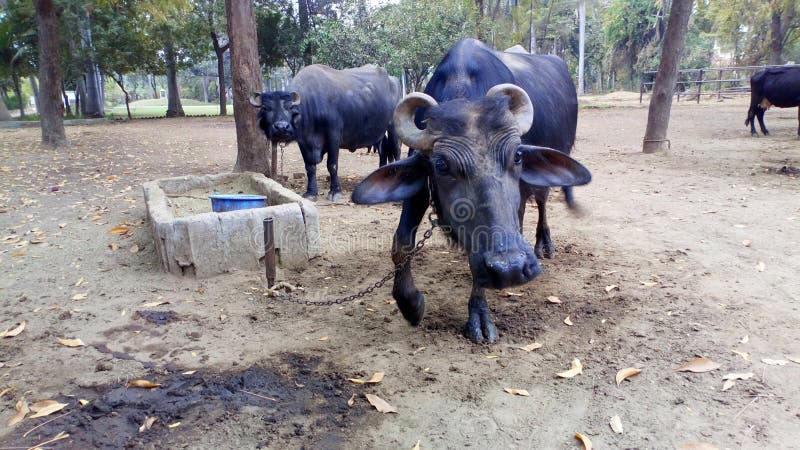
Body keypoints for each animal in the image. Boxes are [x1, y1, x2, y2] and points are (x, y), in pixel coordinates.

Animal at [250, 64, 401, 201]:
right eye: (265, 108)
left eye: (290, 107)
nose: (281, 127)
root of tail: (393, 80)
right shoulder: (303, 142)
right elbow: (309, 167)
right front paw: (311, 192)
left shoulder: (333, 136)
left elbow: (332, 165)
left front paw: (335, 191)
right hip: (379, 131)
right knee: (383, 150)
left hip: (393, 126)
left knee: (396, 149)